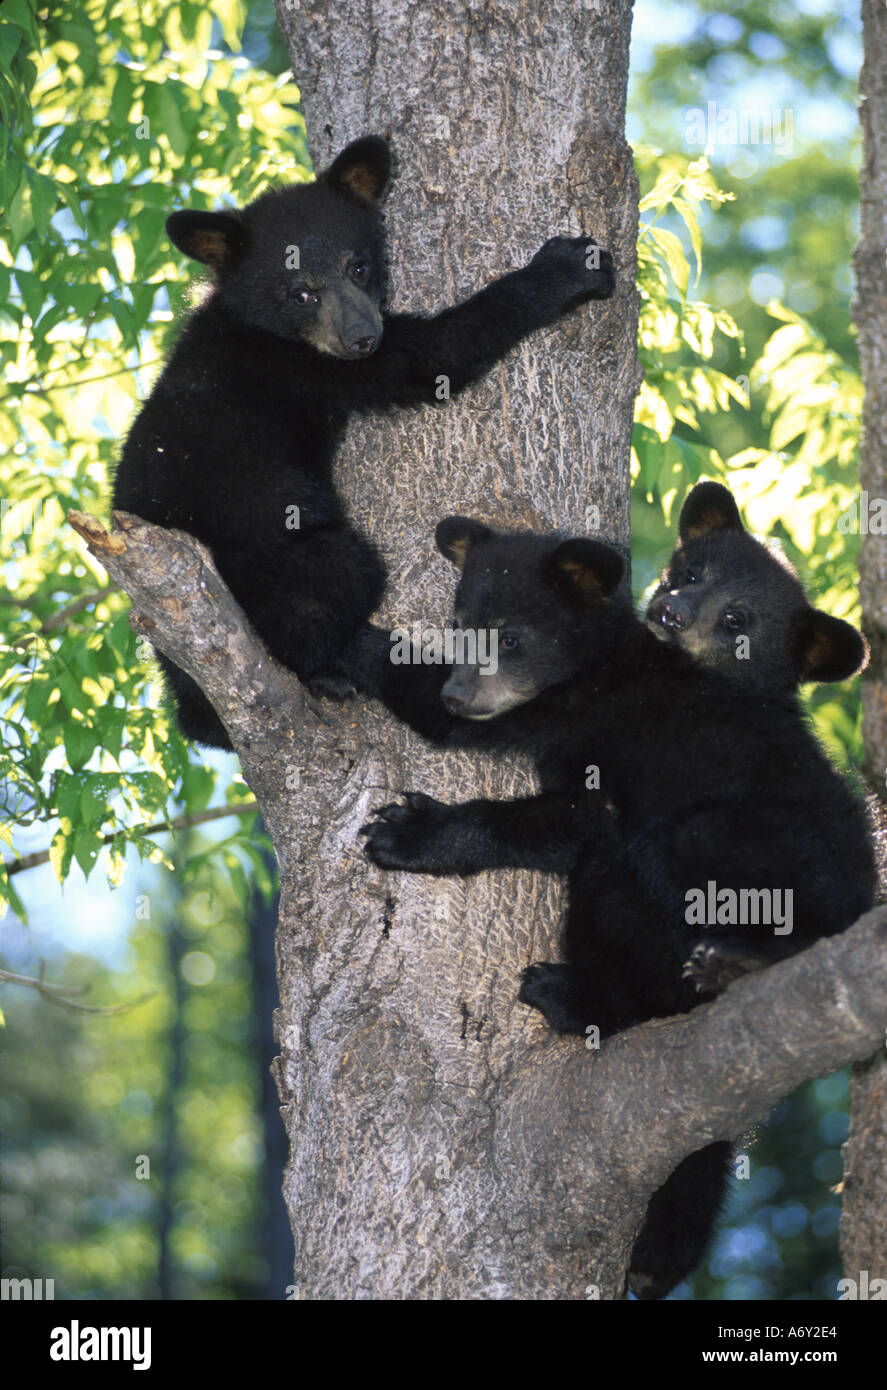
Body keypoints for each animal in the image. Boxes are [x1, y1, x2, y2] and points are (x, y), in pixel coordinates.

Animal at [112, 135, 615, 748]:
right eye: (301, 292)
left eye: (359, 265)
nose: (361, 337)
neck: (256, 324)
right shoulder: (311, 369)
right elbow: (437, 355)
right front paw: (567, 269)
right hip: (281, 562)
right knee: (342, 575)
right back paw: (327, 672)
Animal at [347, 481, 876, 1298]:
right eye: (463, 627)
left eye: (511, 639)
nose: (463, 692)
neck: (610, 659)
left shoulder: (586, 725)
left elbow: (565, 816)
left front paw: (409, 825)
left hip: (729, 858)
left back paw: (618, 986)